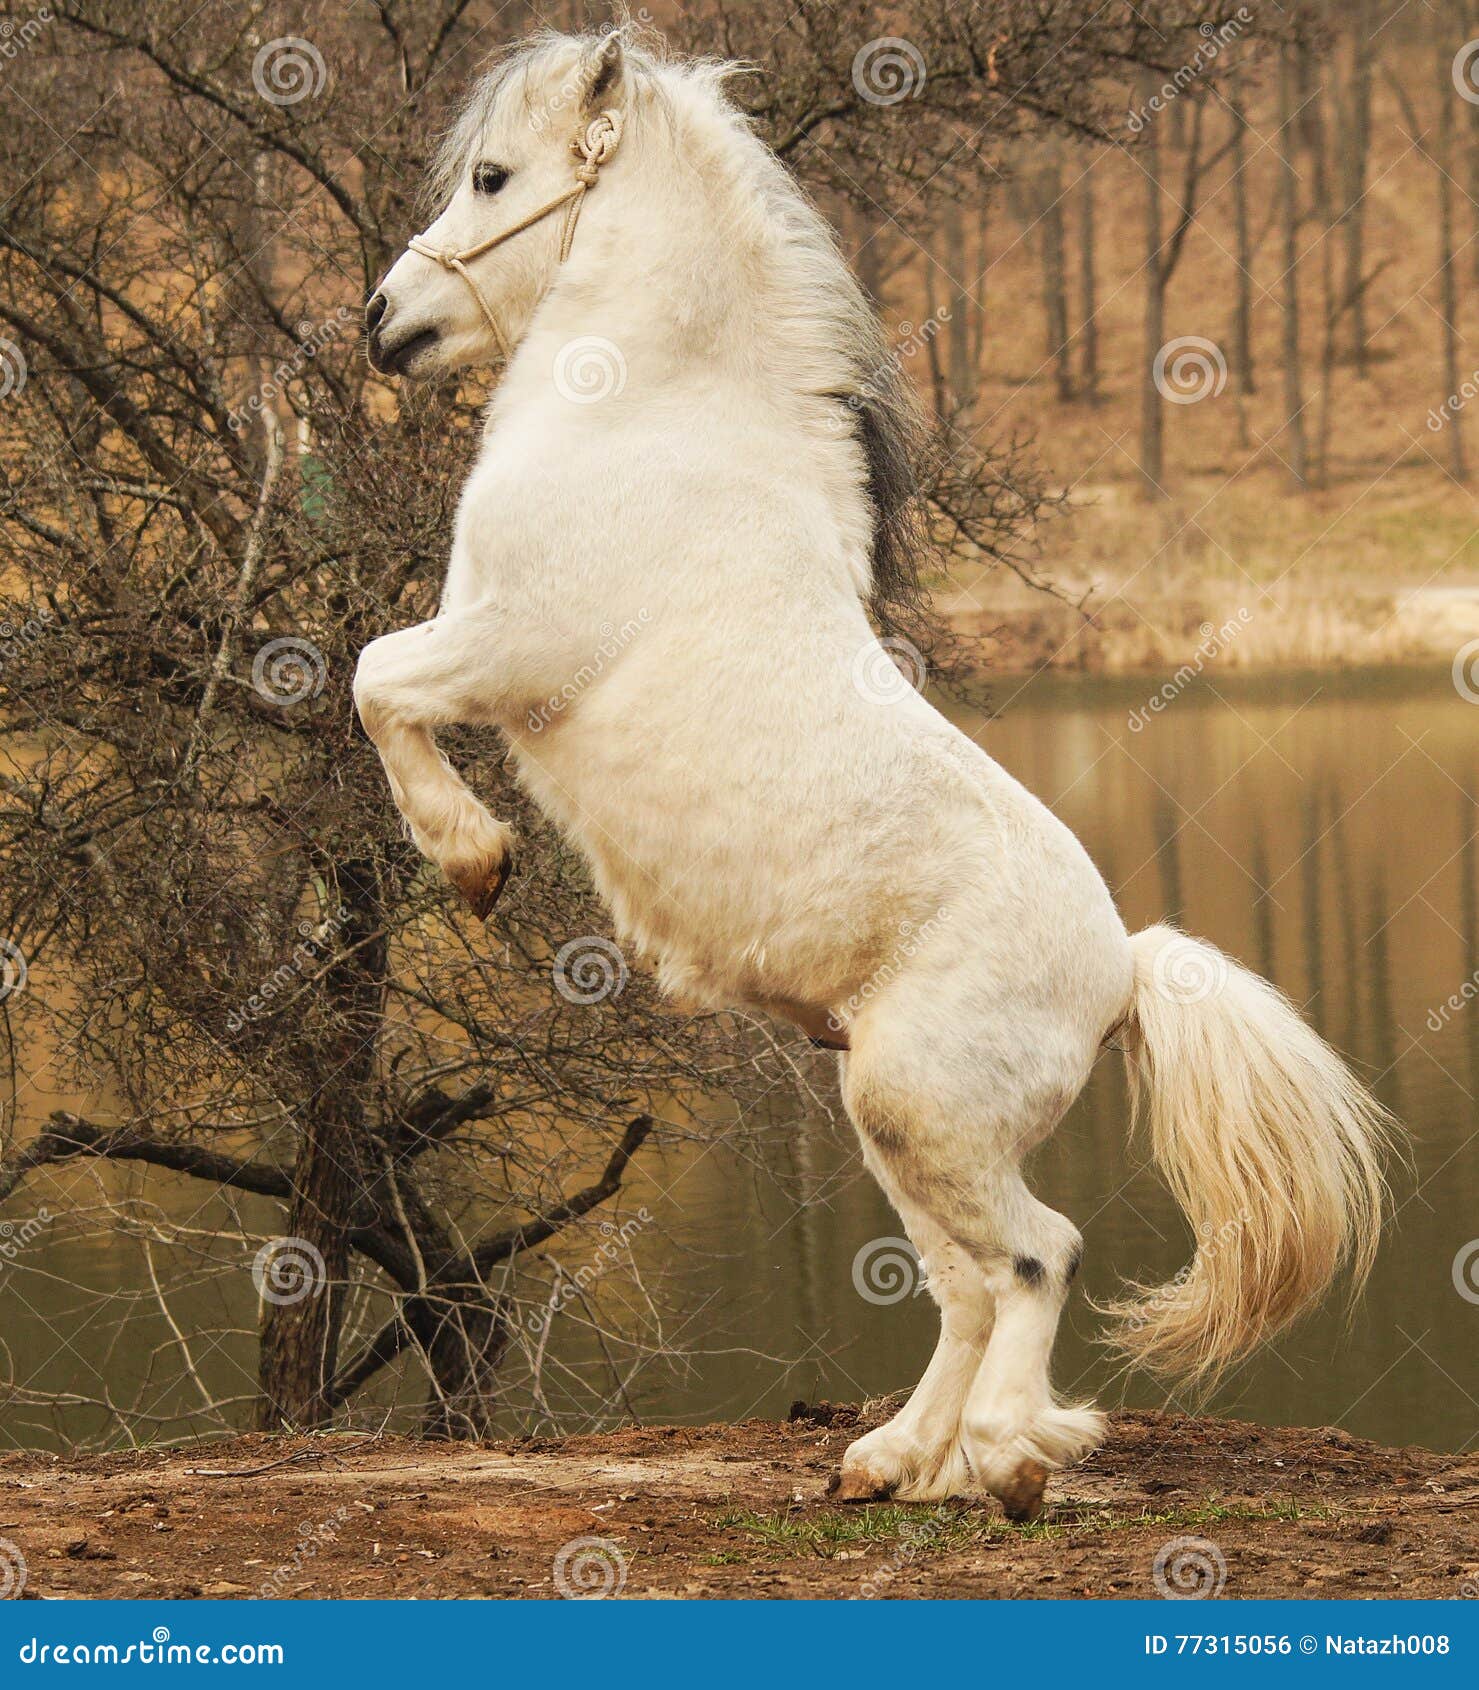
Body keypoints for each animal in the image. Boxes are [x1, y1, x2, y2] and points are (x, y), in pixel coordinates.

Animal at [354, 28, 1392, 1519]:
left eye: (492, 175)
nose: (382, 318)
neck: (649, 419)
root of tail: (1121, 969)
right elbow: (371, 676)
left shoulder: (506, 648)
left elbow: (373, 677)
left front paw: (473, 858)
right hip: (892, 1121)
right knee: (966, 1287)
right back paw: (898, 1460)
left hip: (917, 1106)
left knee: (1036, 1258)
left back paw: (1005, 1458)